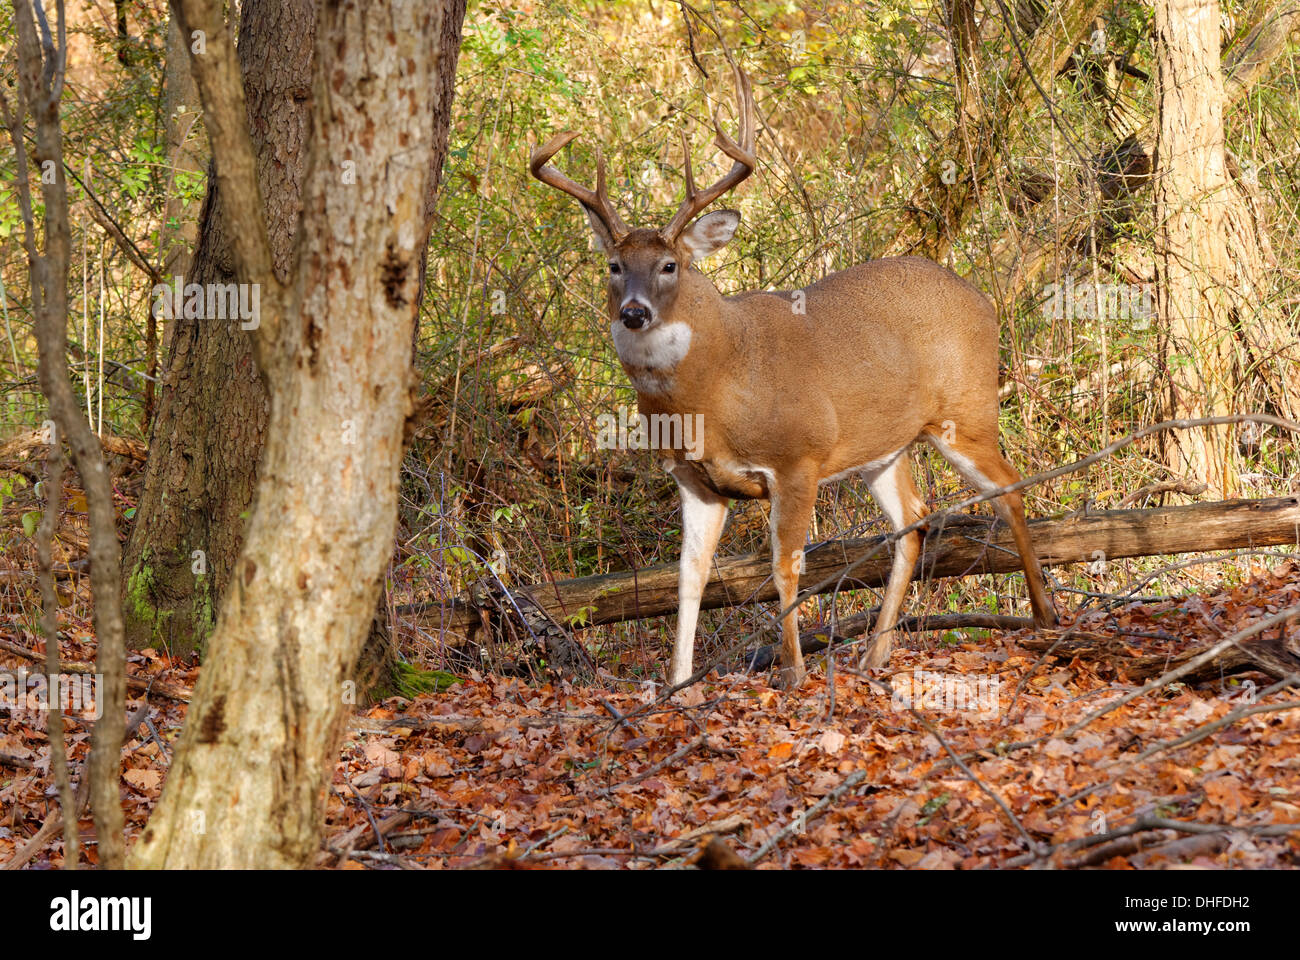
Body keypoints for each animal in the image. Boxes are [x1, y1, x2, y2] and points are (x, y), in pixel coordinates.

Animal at [529, 65, 1058, 688]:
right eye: (613, 265)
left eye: (669, 265)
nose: (634, 312)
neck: (716, 388)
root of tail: (982, 299)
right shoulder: (694, 479)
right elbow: (688, 577)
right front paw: (679, 683)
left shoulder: (798, 458)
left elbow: (785, 566)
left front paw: (792, 670)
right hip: (883, 447)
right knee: (915, 519)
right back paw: (875, 654)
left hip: (967, 409)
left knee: (1010, 490)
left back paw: (1045, 615)